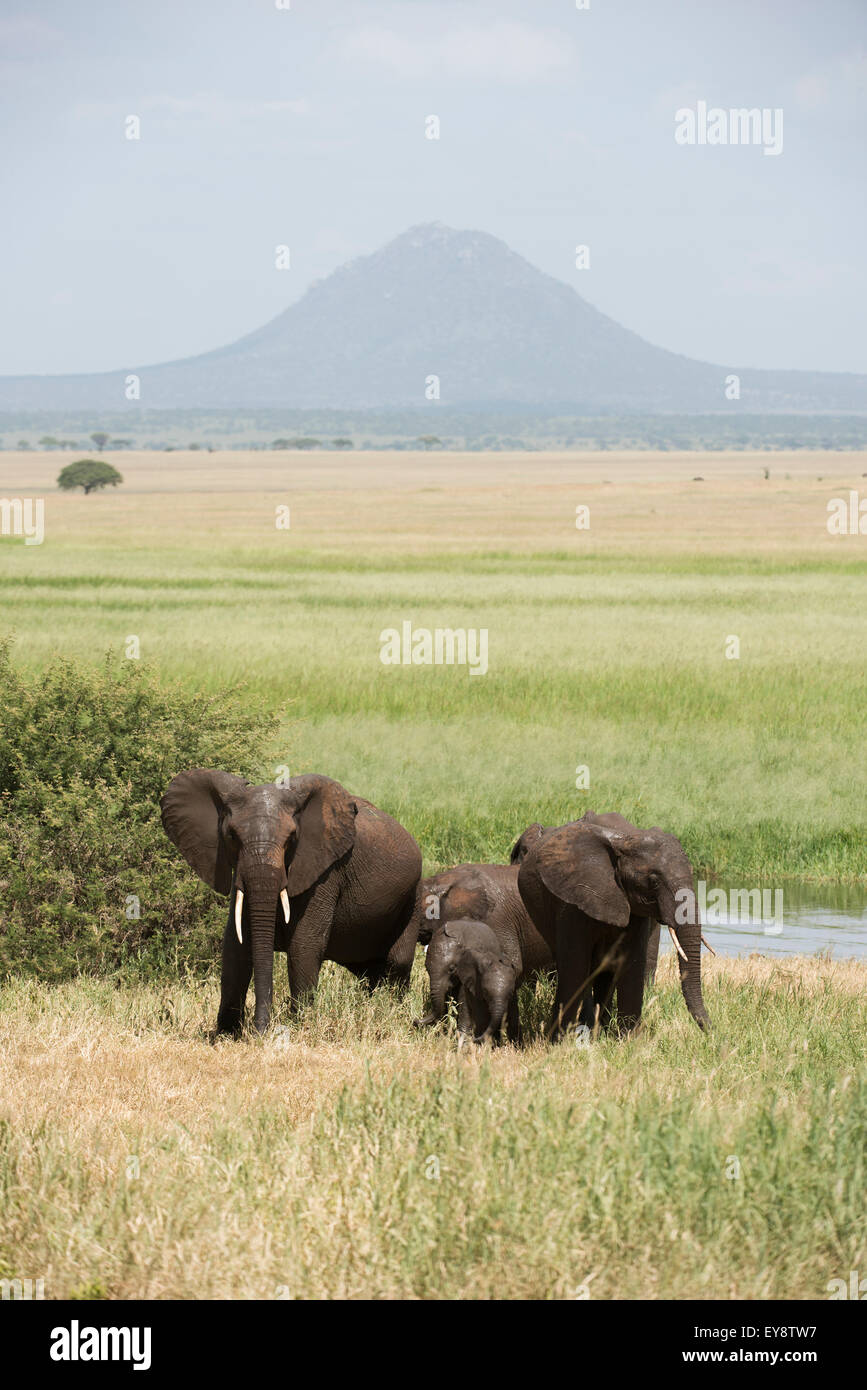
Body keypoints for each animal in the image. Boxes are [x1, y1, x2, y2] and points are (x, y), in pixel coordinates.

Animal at [161, 770, 422, 1035]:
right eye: (232, 836)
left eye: (292, 838)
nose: (261, 1031)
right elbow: (236, 944)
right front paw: (226, 1034)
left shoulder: (325, 871)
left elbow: (304, 944)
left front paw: (299, 1025)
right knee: (369, 971)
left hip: (413, 896)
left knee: (397, 962)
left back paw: (392, 1011)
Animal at [517, 810, 708, 1039]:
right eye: (653, 881)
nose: (711, 1032)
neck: (625, 840)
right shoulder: (574, 898)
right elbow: (576, 966)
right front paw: (559, 1040)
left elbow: (632, 963)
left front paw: (628, 1040)